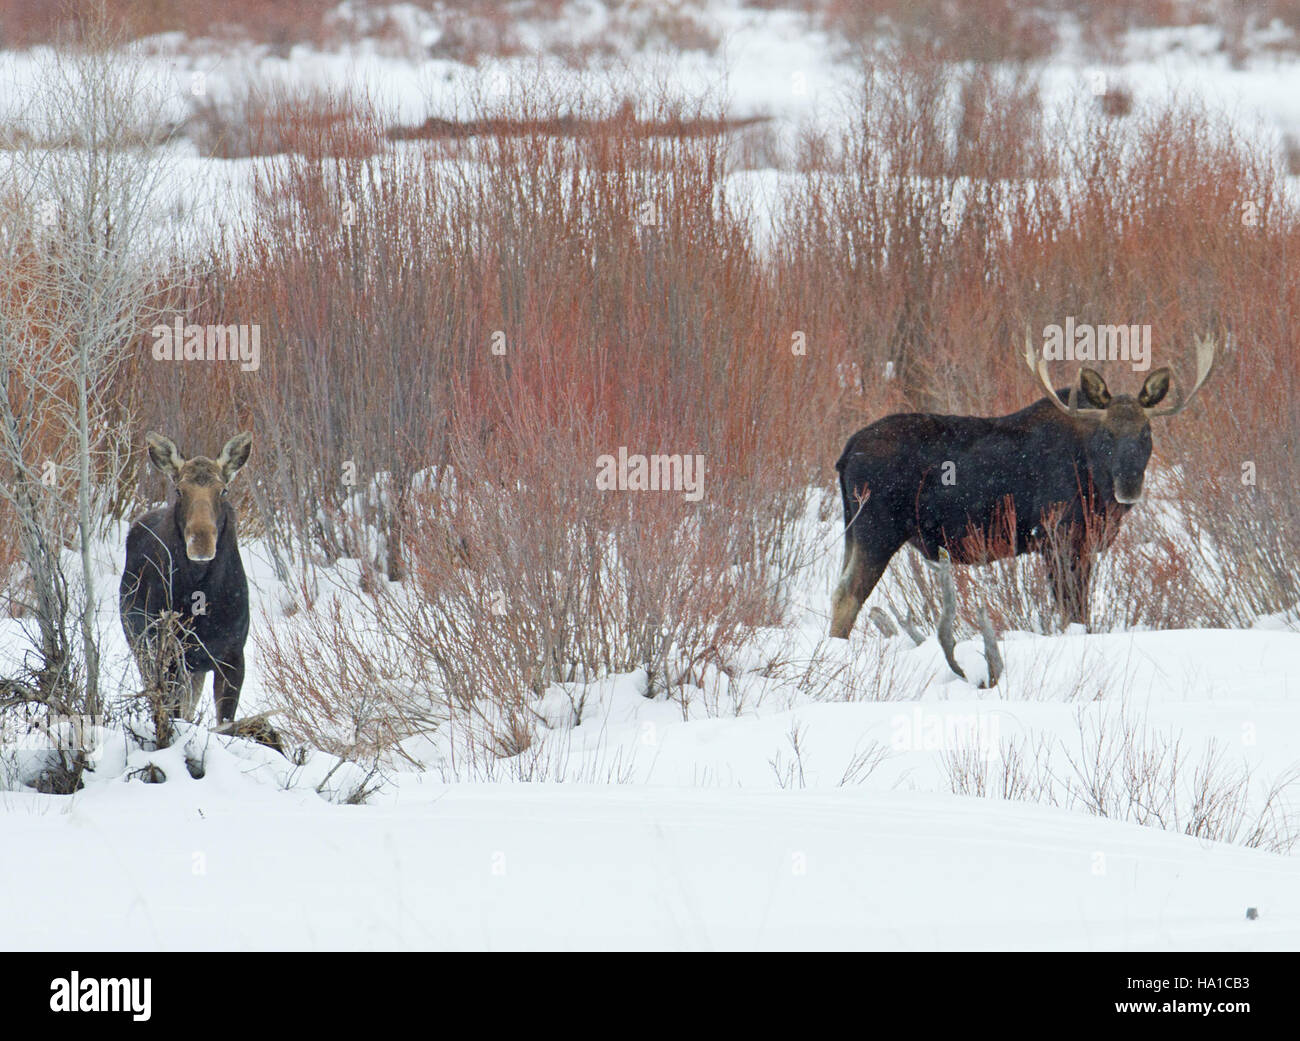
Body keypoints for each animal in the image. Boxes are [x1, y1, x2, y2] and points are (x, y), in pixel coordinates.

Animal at [119, 432, 253, 725]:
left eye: (223, 490)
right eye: (180, 490)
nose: (201, 543)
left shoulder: (232, 657)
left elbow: (225, 722)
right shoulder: (170, 657)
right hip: (142, 649)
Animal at [829, 333, 1215, 639]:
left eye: (1146, 432)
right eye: (1108, 434)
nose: (1129, 485)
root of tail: (844, 454)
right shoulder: (1059, 537)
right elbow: (1073, 613)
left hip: (856, 531)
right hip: (876, 530)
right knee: (846, 596)